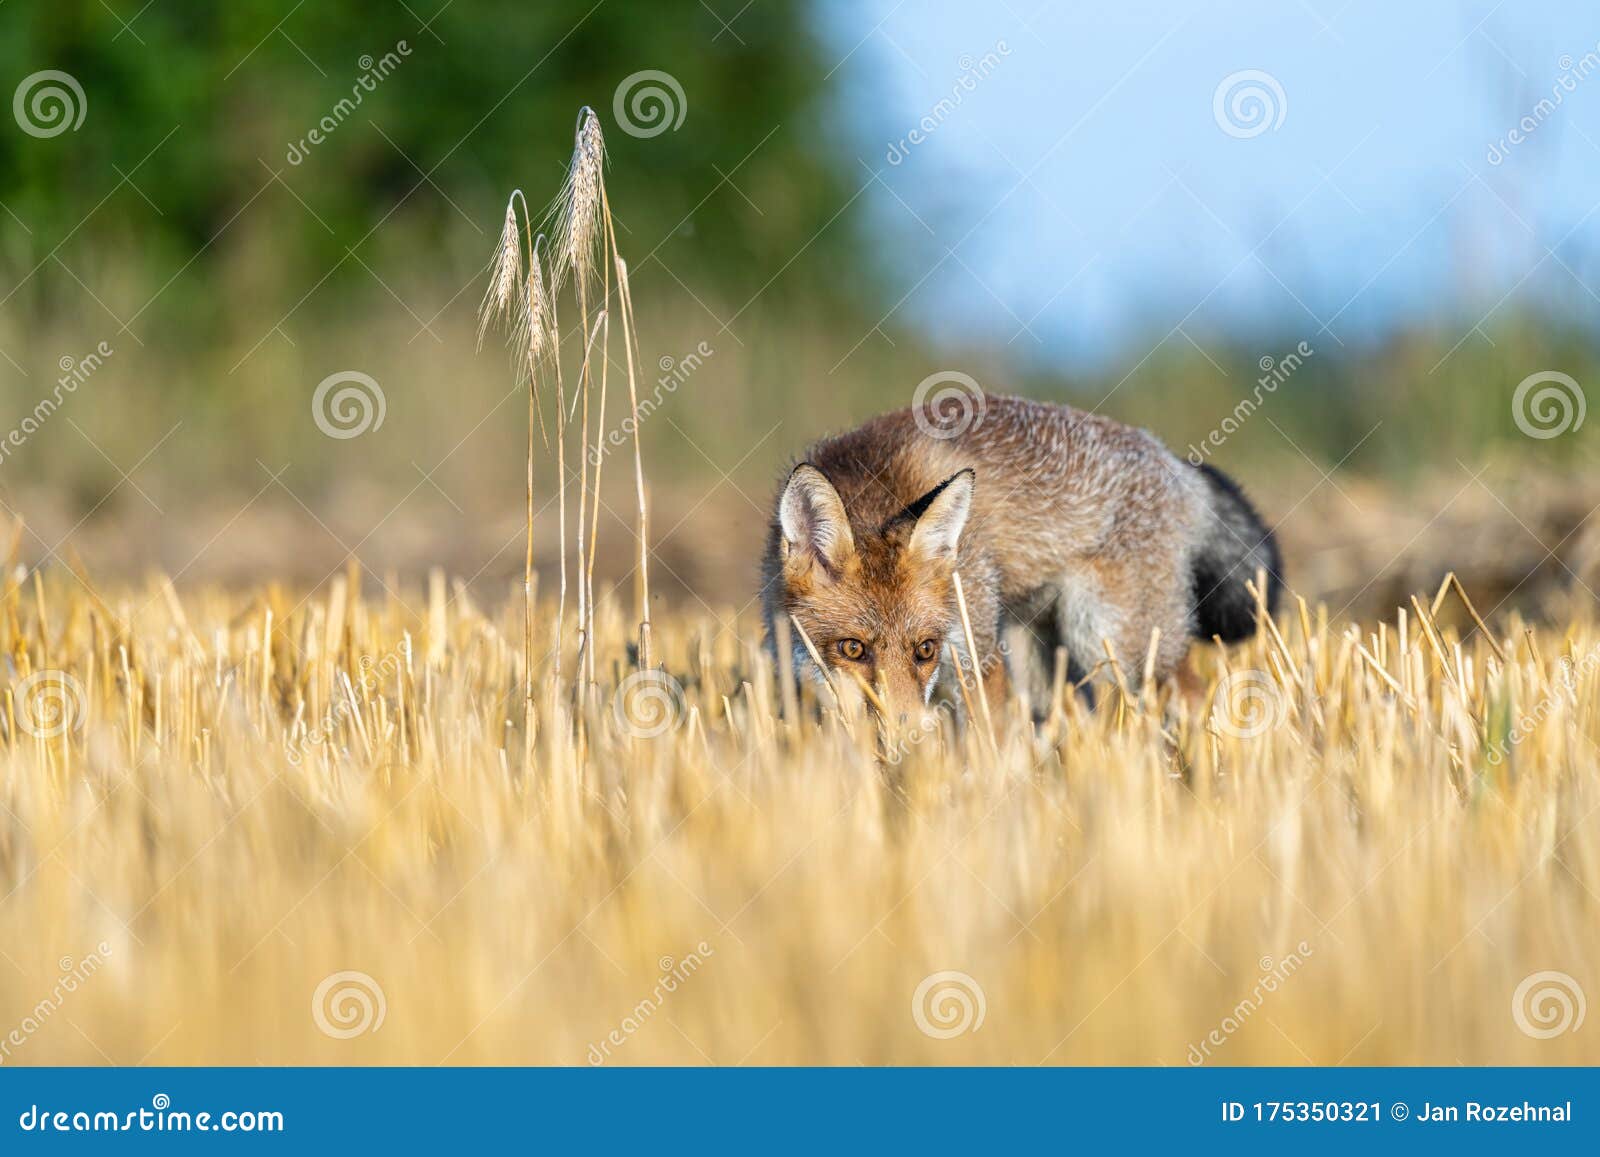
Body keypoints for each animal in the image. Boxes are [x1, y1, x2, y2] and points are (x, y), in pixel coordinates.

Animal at [761, 394, 1283, 716]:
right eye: (853, 648)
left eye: (925, 649)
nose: (907, 729)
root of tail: (1174, 464)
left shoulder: (977, 657)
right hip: (1043, 651)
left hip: (1113, 639)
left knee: (1191, 695)